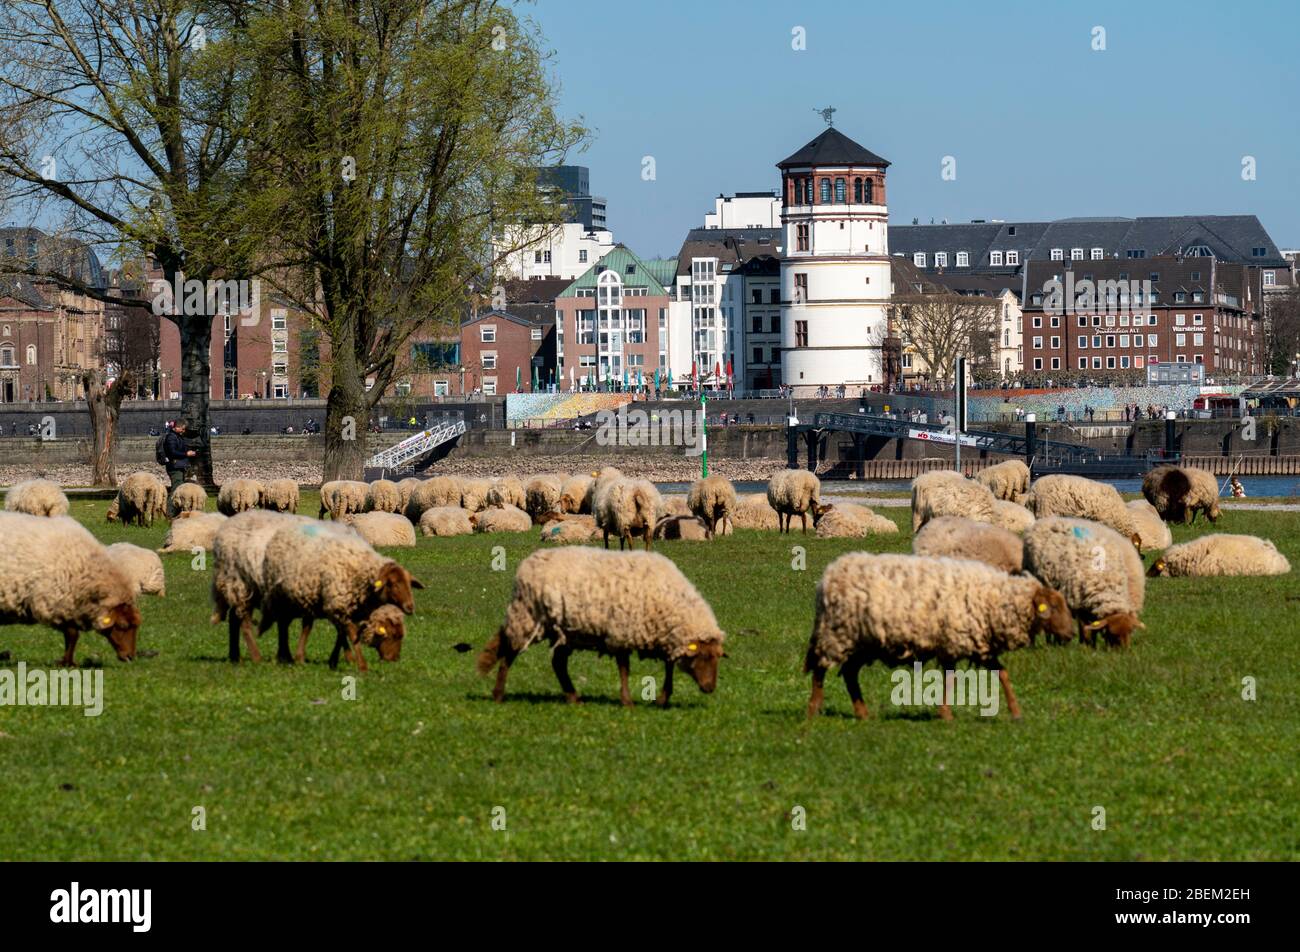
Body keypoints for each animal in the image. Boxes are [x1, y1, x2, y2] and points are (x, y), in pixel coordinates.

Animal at [0, 512, 142, 665]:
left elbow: (72, 635)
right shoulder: (57, 603)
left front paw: (68, 661)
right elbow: (72, 634)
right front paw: (66, 662)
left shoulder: (69, 605)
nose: (130, 657)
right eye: (122, 626)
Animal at [259, 518, 423, 672]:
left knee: (304, 625)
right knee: (284, 623)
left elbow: (341, 633)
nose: (395, 659)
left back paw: (296, 656)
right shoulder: (338, 605)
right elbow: (350, 634)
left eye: (409, 584)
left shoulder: (344, 609)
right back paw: (285, 656)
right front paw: (359, 664)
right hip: (283, 595)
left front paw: (336, 660)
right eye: (393, 584)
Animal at [477, 547, 725, 708]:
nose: (710, 688)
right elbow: (625, 668)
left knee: (558, 663)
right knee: (509, 654)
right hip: (527, 618)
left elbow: (669, 666)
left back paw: (573, 698)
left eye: (717, 658)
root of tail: (529, 561)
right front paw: (627, 702)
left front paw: (663, 698)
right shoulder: (622, 632)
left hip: (564, 632)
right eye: (702, 657)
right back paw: (498, 694)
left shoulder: (664, 637)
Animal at [804, 553, 1073, 720]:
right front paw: (946, 715)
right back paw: (814, 708)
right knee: (820, 668)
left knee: (849, 674)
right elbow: (952, 680)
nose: (1070, 634)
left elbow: (1001, 674)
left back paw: (862, 713)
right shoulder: (956, 641)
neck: (996, 600)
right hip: (838, 634)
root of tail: (826, 578)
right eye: (1054, 607)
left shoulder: (976, 645)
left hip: (864, 643)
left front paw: (1016, 713)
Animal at [1022, 516, 1146, 648]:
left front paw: (1093, 646)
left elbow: (1093, 628)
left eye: (1130, 631)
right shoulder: (1081, 605)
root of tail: (1050, 518)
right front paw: (1086, 646)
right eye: (1112, 633)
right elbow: (1086, 629)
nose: (1123, 651)